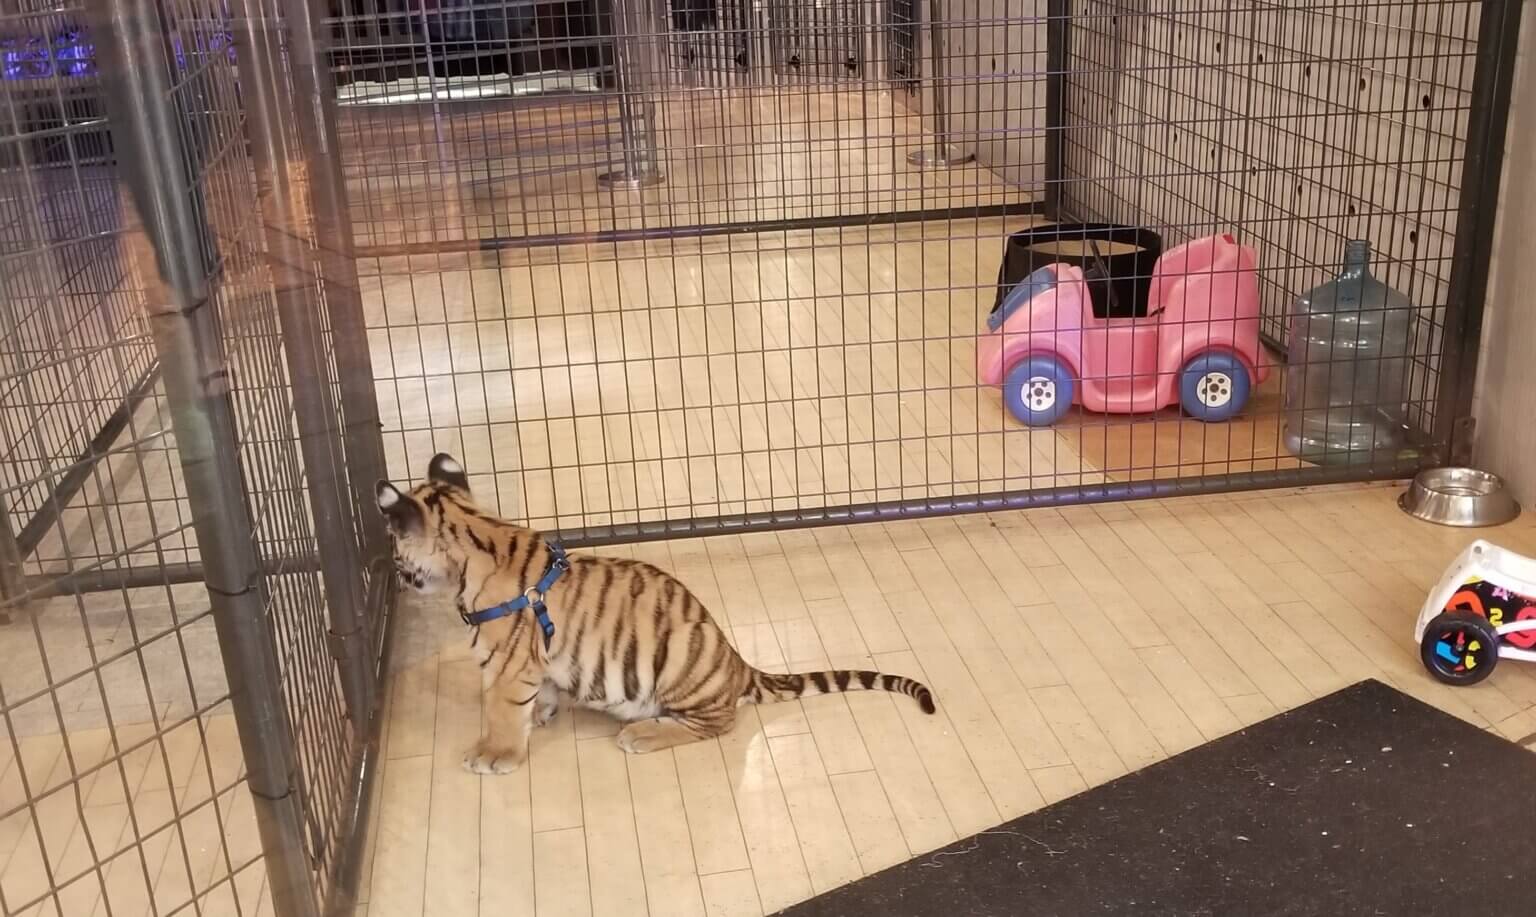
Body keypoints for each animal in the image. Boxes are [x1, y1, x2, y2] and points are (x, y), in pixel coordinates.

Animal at [376, 453, 937, 774]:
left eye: (396, 545)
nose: (392, 570)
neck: (476, 531)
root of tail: (739, 664)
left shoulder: (506, 667)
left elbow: (499, 711)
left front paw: (495, 755)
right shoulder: (536, 662)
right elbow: (541, 693)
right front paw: (542, 713)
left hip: (681, 667)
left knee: (717, 724)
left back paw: (641, 734)